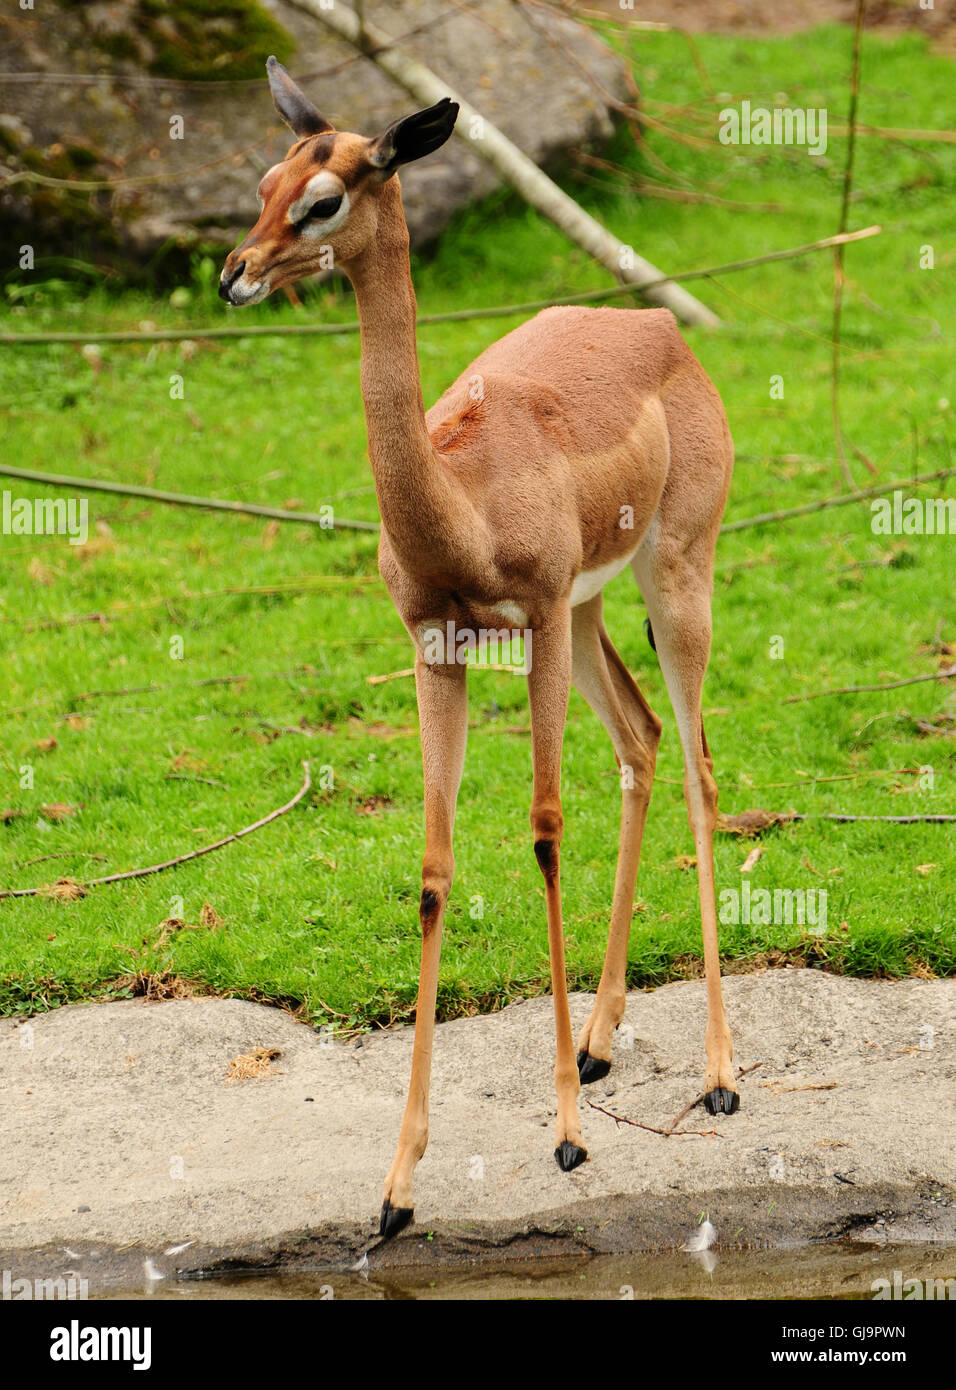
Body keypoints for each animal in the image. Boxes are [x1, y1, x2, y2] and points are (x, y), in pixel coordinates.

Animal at [221, 59, 738, 1239]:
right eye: (266, 178)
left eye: (326, 198)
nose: (234, 272)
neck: (460, 501)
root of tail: (658, 327)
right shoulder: (436, 648)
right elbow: (432, 867)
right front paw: (398, 1184)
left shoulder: (533, 621)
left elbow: (544, 831)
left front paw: (566, 1138)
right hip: (592, 619)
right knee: (642, 741)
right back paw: (597, 1044)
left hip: (671, 579)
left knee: (695, 766)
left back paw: (720, 1076)